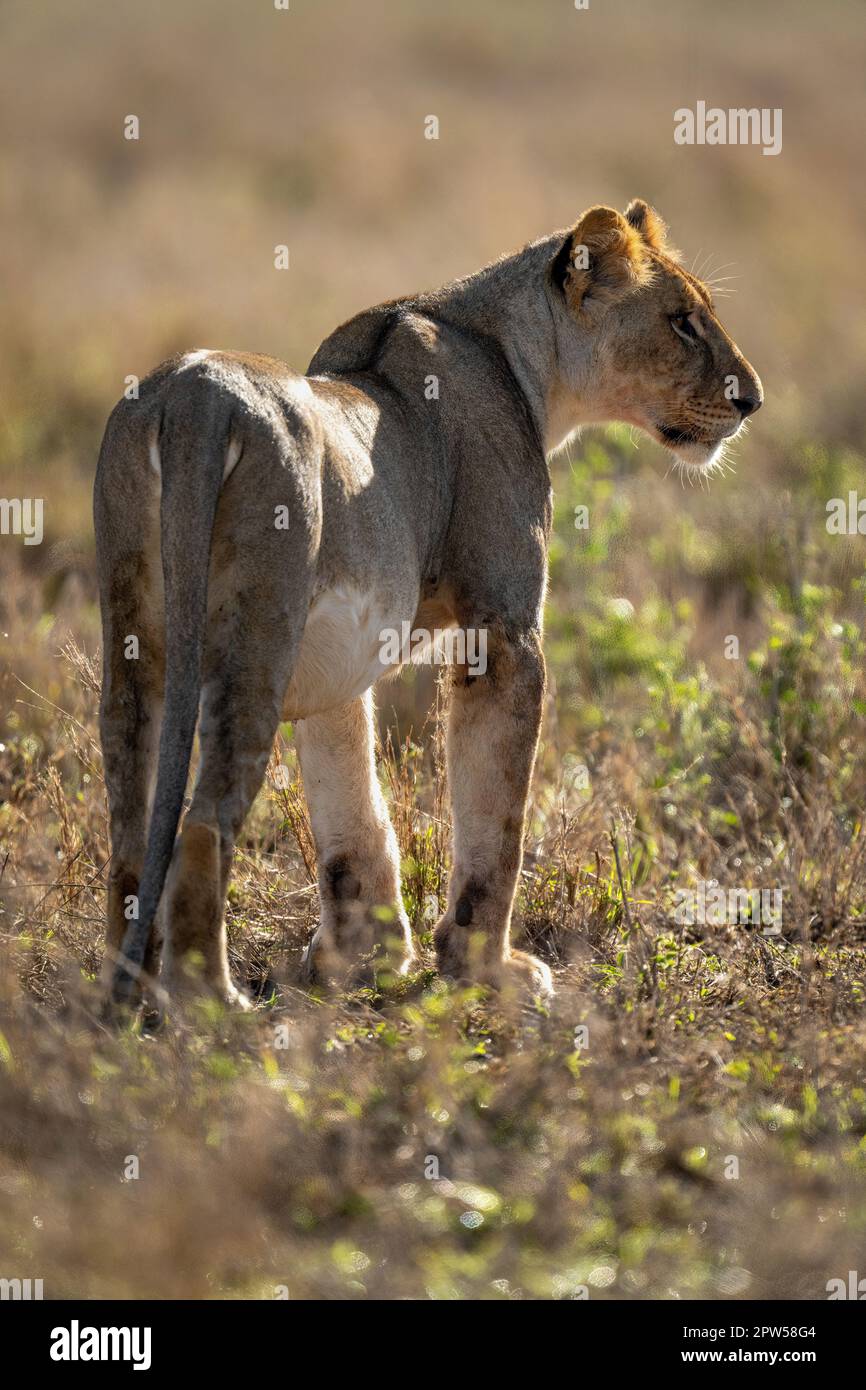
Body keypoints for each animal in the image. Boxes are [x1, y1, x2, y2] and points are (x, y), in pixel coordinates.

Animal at [94, 200, 762, 1010]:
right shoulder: (505, 634)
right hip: (256, 644)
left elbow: (352, 809)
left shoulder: (337, 665)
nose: (751, 399)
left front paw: (361, 958)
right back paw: (216, 1006)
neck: (524, 364)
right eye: (682, 322)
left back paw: (130, 990)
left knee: (132, 819)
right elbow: (496, 818)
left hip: (136, 639)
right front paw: (487, 967)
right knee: (203, 819)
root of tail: (196, 396)